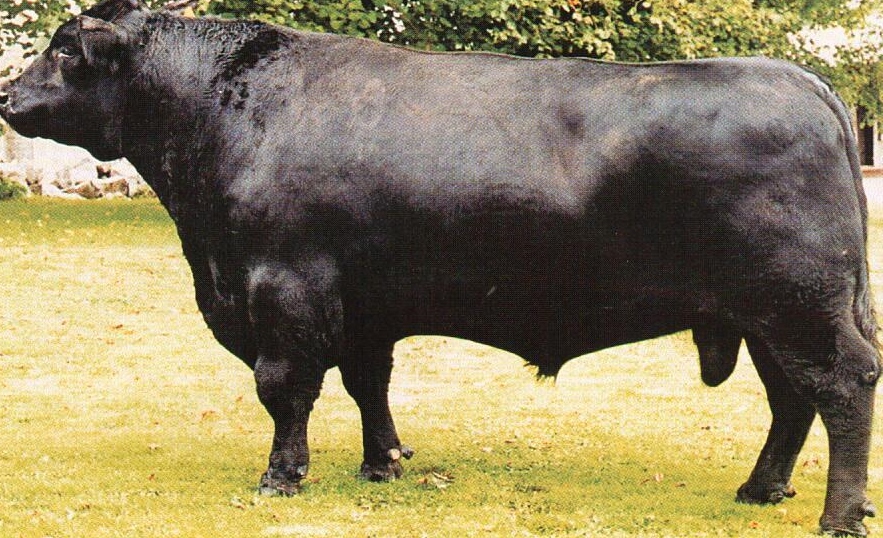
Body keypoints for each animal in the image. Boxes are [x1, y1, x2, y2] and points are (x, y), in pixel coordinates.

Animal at [0, 0, 879, 534]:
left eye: (64, 50)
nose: (7, 98)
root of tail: (799, 80)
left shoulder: (283, 290)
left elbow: (285, 389)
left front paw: (281, 478)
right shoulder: (360, 304)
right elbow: (368, 384)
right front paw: (383, 463)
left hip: (799, 304)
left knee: (842, 386)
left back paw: (837, 515)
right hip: (764, 313)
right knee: (790, 400)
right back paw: (759, 488)